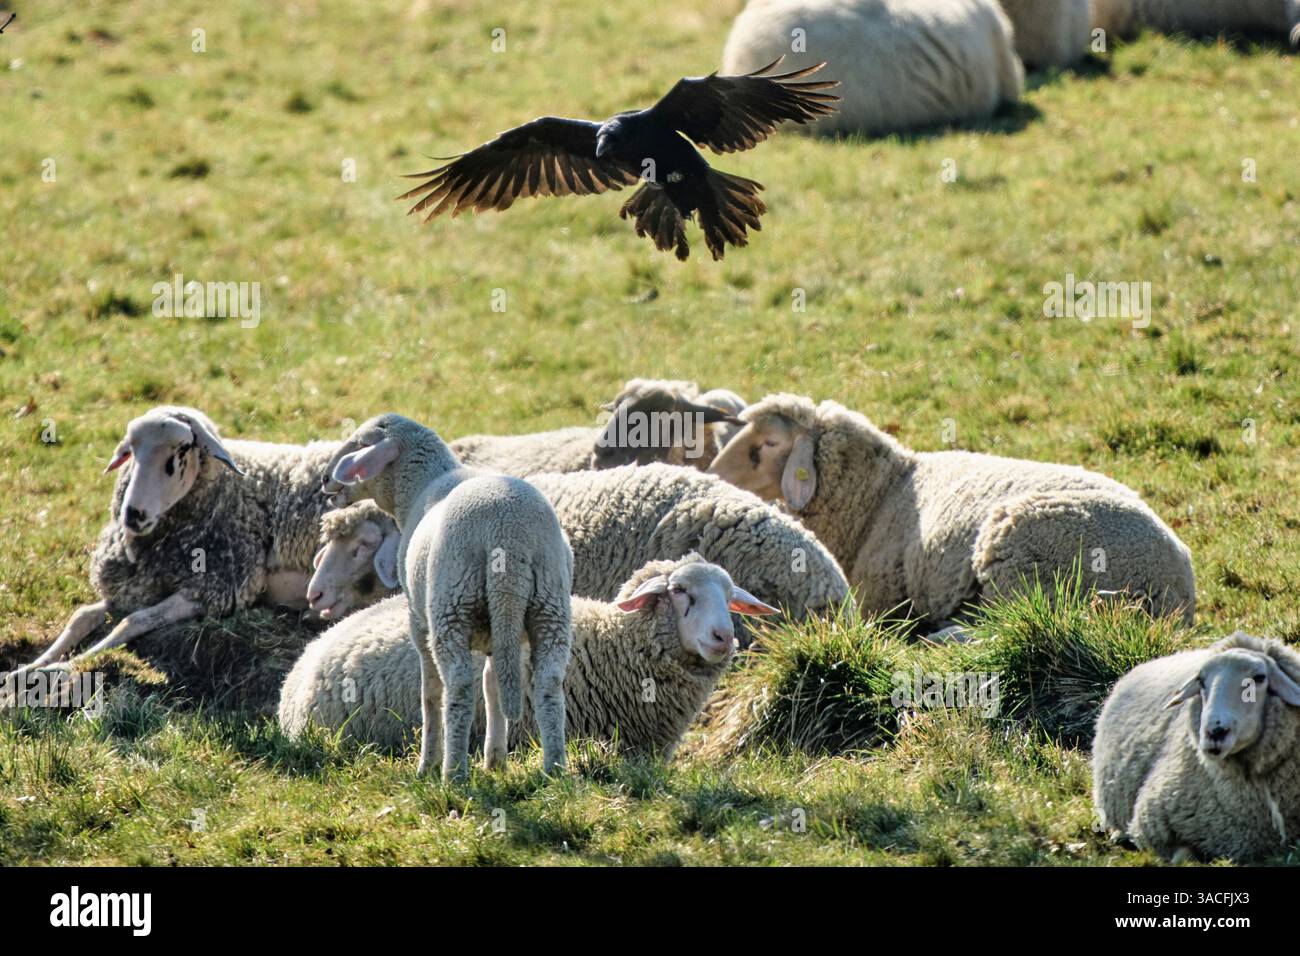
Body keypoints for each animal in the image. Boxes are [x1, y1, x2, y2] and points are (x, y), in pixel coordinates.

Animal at [15, 406, 343, 674]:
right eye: (131, 450)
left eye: (184, 448)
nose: (134, 514)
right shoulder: (135, 588)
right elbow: (81, 616)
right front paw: (31, 666)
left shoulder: (215, 589)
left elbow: (132, 622)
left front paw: (69, 664)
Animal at [325, 413, 573, 779]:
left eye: (360, 444)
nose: (326, 479)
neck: (421, 485)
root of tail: (507, 534)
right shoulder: (499, 637)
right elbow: (493, 684)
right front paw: (495, 760)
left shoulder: (418, 621)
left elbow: (430, 693)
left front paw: (427, 763)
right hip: (549, 604)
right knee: (548, 683)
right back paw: (554, 767)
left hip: (451, 607)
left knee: (458, 689)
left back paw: (451, 771)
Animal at [707, 393, 1196, 630]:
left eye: (770, 443)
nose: (712, 474)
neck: (882, 492)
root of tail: (1176, 582)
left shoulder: (881, 601)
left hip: (1024, 559)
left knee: (1003, 628)